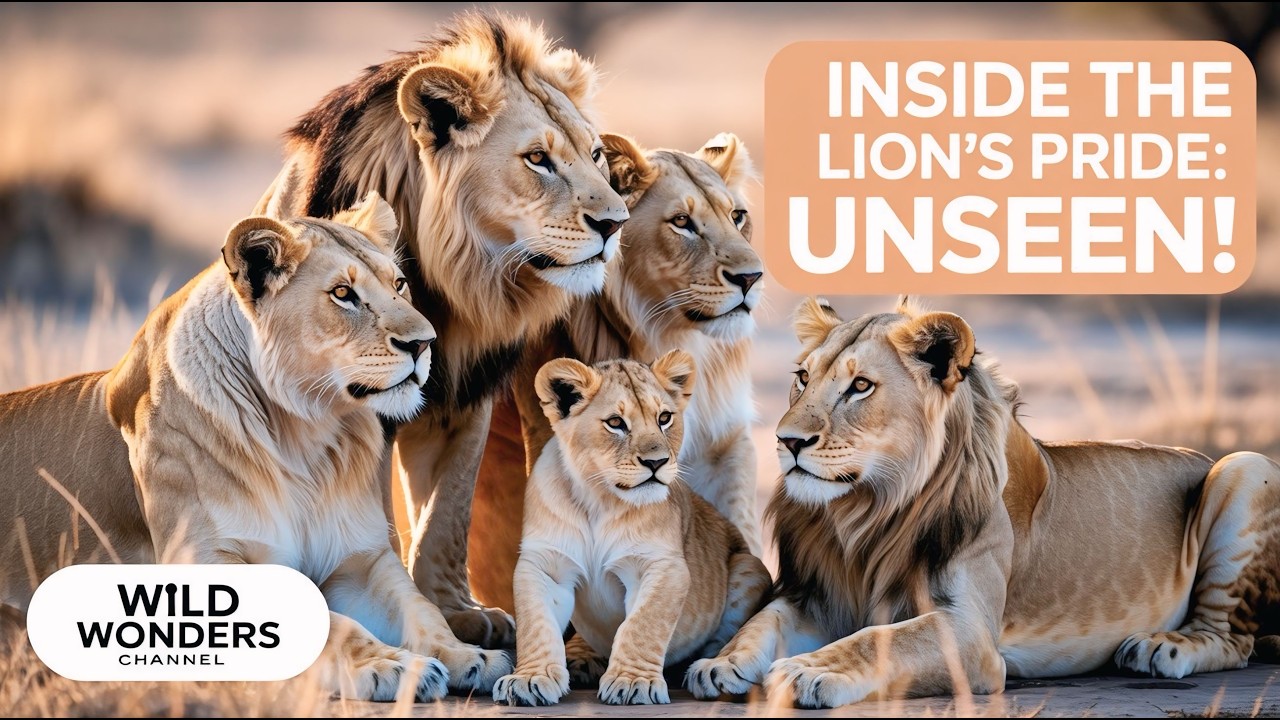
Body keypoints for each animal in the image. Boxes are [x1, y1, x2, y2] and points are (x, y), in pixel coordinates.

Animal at [0, 193, 510, 700]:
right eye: (343, 294)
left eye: (400, 284)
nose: (425, 344)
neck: (305, 438)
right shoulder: (204, 561)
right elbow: (333, 625)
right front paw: (394, 666)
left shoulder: (360, 560)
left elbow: (421, 609)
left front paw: (470, 656)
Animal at [254, 12, 629, 648]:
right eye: (538, 159)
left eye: (597, 154)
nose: (615, 223)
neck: (459, 284)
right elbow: (377, 520)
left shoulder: (466, 395)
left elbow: (448, 513)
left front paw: (461, 613)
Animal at [492, 353, 770, 706]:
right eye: (615, 423)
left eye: (664, 418)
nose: (656, 462)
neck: (598, 501)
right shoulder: (545, 565)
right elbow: (536, 624)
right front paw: (529, 679)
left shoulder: (661, 565)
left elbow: (642, 624)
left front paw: (632, 682)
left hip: (749, 566)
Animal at [687, 297, 1280, 708]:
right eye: (803, 379)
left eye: (860, 386)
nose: (786, 441)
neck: (868, 512)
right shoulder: (821, 596)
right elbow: (763, 620)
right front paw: (721, 663)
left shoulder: (971, 632)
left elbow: (881, 639)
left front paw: (807, 671)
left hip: (1244, 466)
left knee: (1233, 640)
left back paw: (1161, 649)